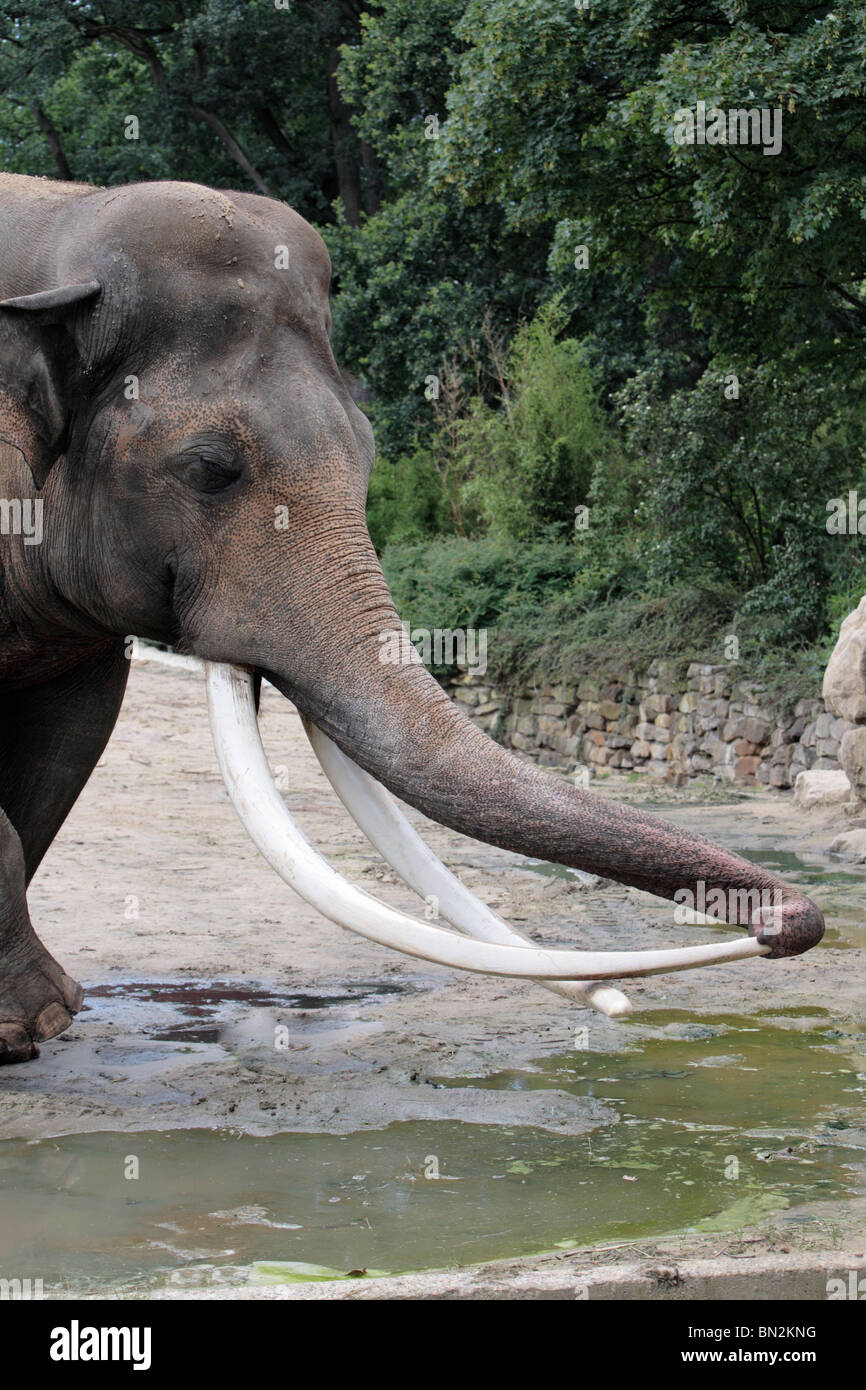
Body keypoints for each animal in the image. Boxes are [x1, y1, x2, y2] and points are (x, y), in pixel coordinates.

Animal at [0, 172, 824, 1065]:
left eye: (367, 452)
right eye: (210, 469)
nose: (790, 922)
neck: (71, 217)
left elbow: (61, 750)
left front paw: (31, 1026)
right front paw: (31, 1026)